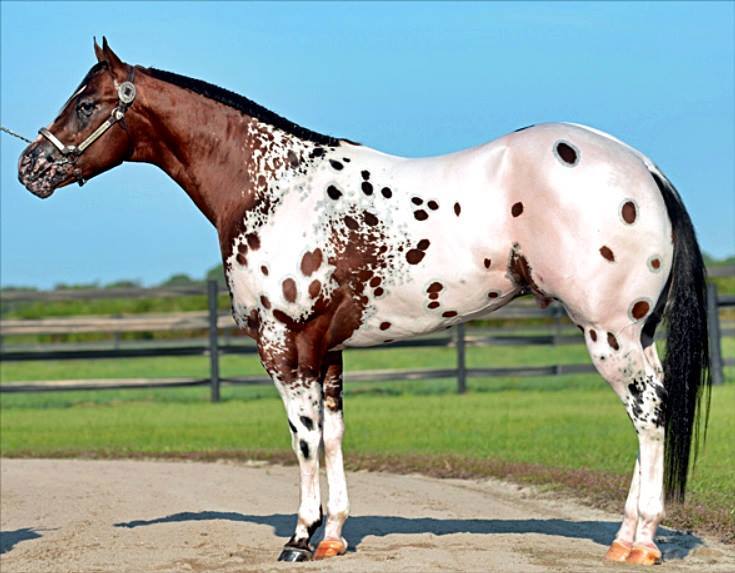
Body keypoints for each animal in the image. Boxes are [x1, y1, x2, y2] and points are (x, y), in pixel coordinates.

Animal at [18, 38, 711, 566]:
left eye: (85, 104)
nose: (31, 166)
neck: (275, 188)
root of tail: (644, 169)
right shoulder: (328, 352)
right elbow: (333, 437)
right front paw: (334, 537)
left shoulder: (286, 345)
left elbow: (302, 441)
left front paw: (299, 539)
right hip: (634, 334)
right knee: (650, 410)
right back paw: (623, 537)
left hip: (609, 332)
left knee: (649, 415)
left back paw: (642, 543)